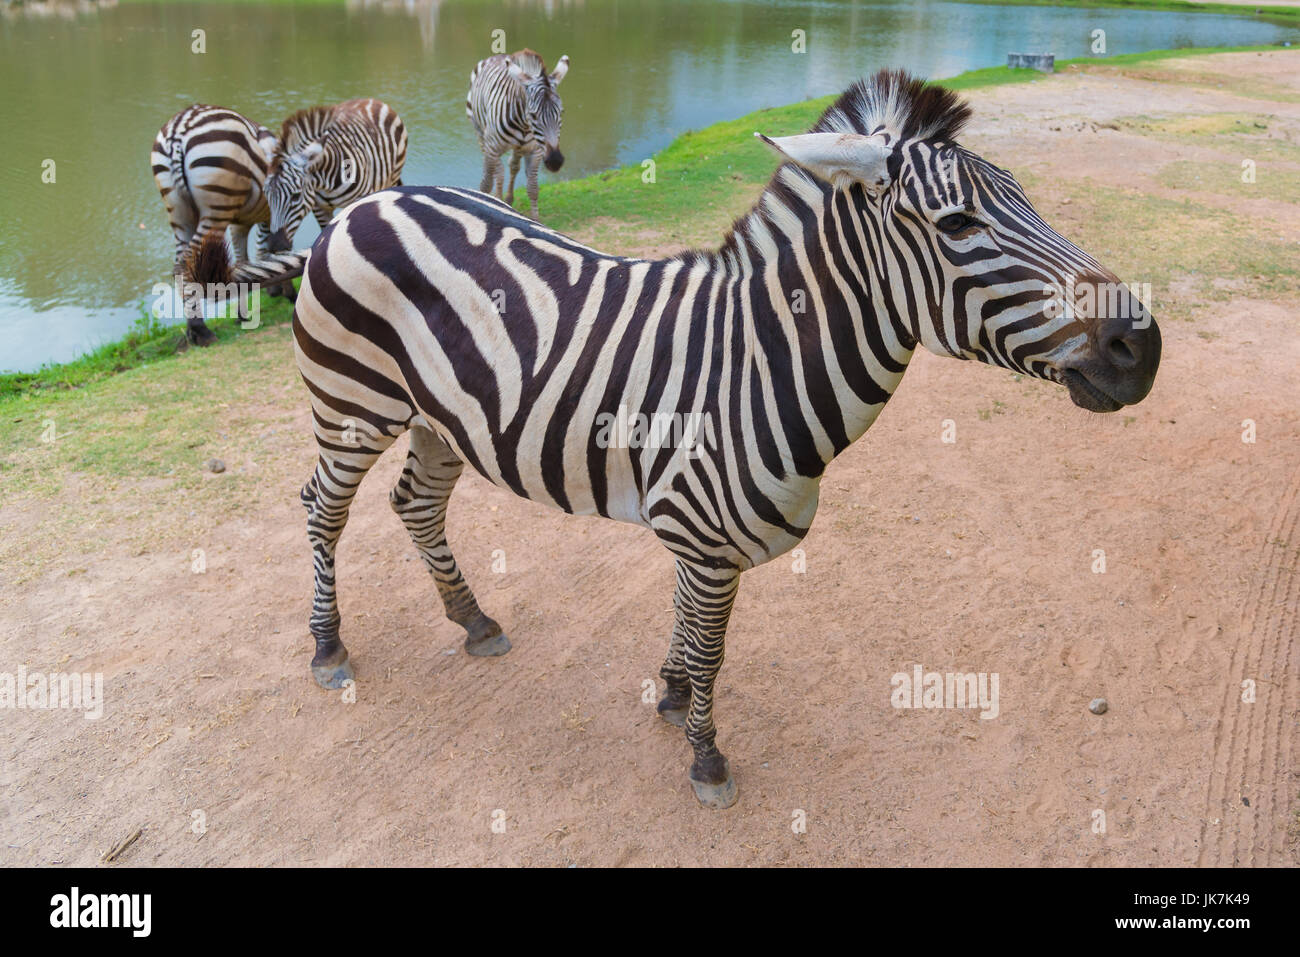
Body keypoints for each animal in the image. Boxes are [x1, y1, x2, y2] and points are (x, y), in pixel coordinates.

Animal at [150, 104, 281, 343]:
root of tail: (178, 130)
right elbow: (267, 252)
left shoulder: (239, 224)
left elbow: (243, 263)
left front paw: (242, 314)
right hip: (216, 207)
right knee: (188, 264)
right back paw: (201, 330)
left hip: (178, 211)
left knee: (179, 264)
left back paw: (192, 329)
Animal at [263, 98, 408, 268]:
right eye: (267, 195)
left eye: (295, 196)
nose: (275, 247)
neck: (325, 181)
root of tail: (371, 100)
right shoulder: (319, 209)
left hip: (393, 173)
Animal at [466, 49, 569, 220]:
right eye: (533, 115)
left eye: (561, 112)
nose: (555, 161)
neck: (525, 125)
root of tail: (498, 55)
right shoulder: (492, 147)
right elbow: (490, 181)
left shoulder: (536, 151)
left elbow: (533, 188)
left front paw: (535, 220)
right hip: (480, 133)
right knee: (496, 169)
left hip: (519, 147)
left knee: (512, 166)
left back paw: (507, 198)